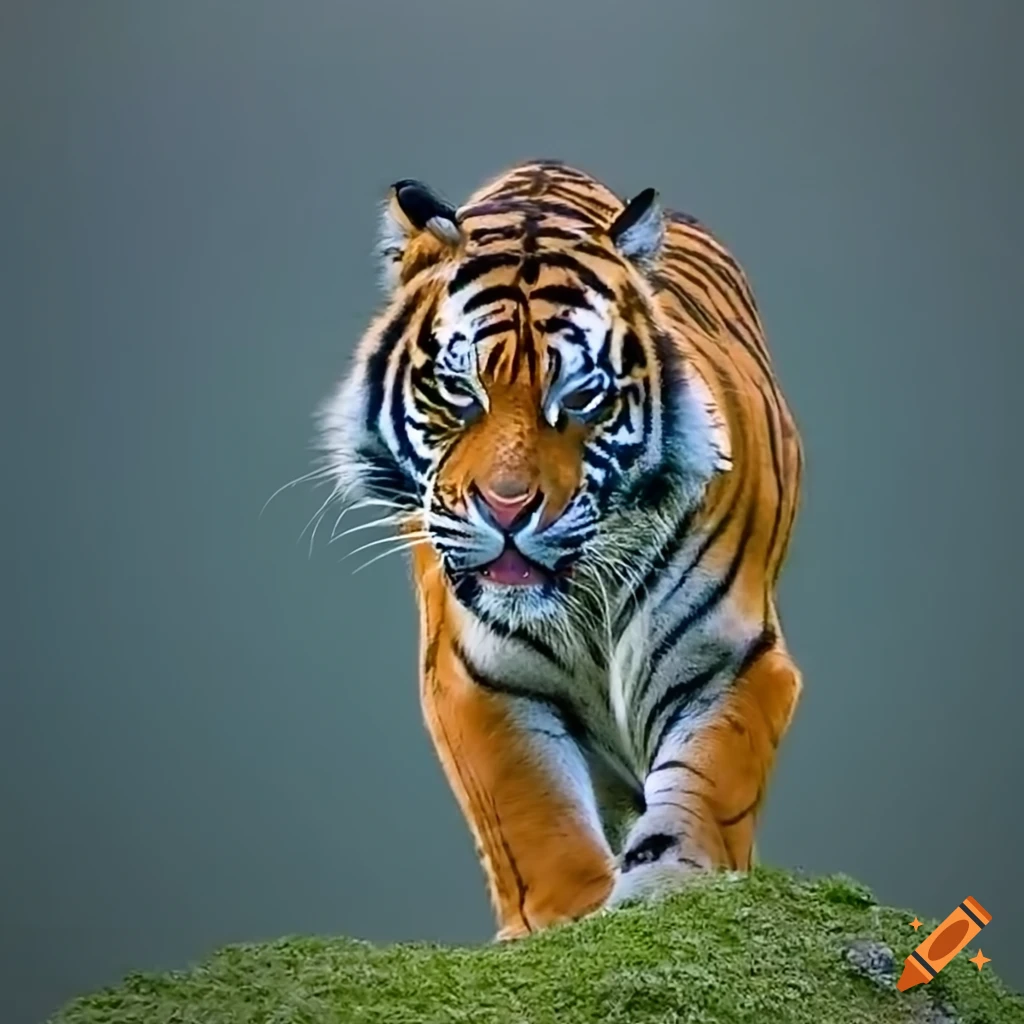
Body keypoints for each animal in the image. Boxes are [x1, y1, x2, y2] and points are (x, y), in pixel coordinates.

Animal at [318, 158, 804, 941]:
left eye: (578, 398)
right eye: (458, 391)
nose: (508, 508)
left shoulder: (737, 660)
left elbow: (705, 787)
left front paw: (672, 884)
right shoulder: (477, 674)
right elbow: (534, 817)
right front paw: (565, 914)